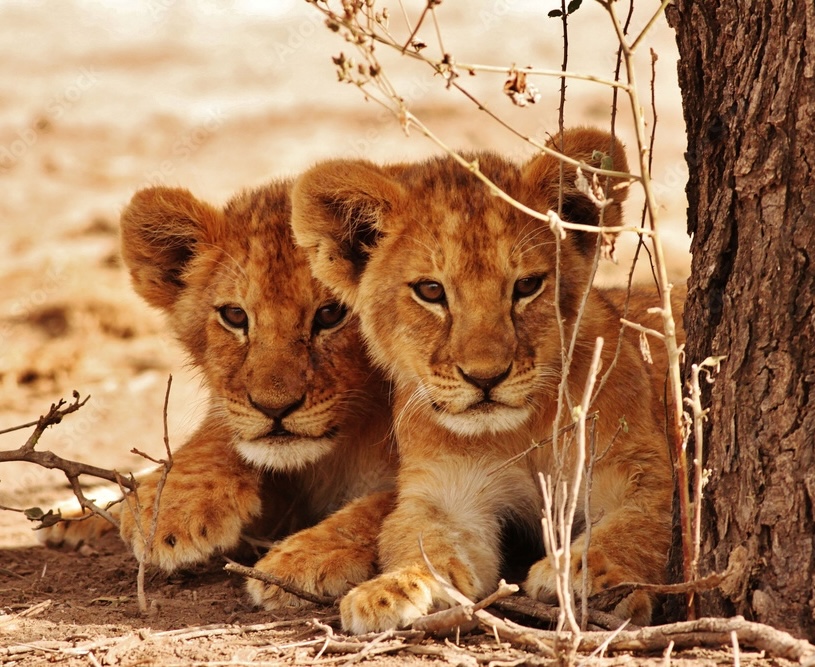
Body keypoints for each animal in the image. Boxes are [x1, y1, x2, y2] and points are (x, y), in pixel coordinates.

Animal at [40, 182, 397, 606]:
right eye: (235, 316)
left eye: (331, 314)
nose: (274, 409)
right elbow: (217, 433)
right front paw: (171, 505)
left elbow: (396, 500)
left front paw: (303, 558)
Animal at [290, 127, 678, 631]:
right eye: (431, 290)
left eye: (527, 286)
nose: (486, 377)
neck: (520, 432)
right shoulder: (446, 493)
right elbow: (423, 540)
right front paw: (393, 589)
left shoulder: (645, 470)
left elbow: (636, 525)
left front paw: (580, 573)